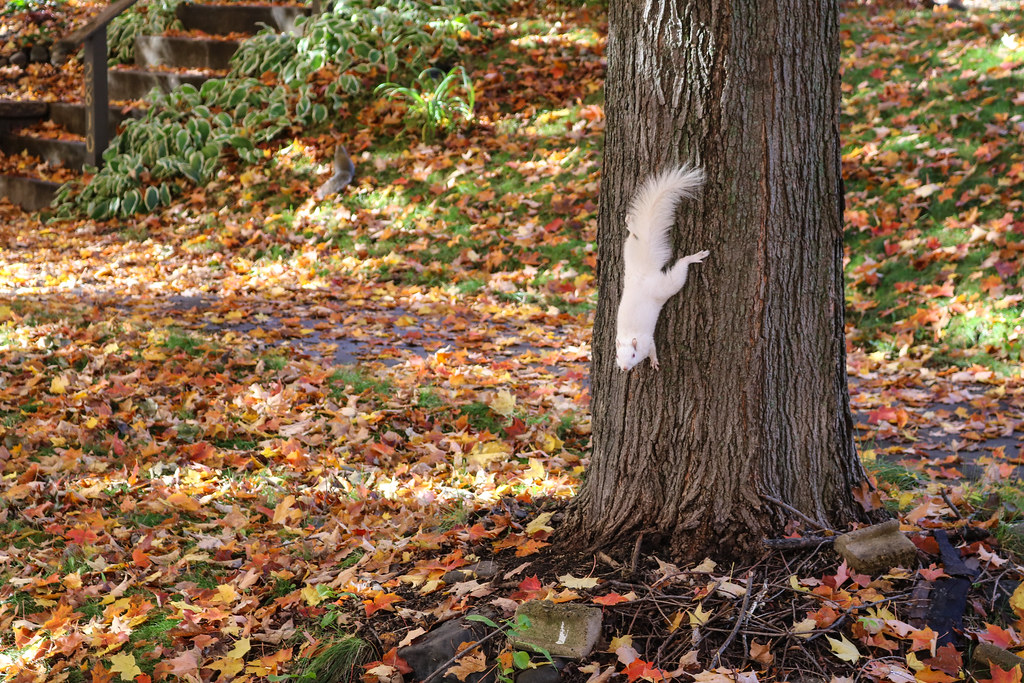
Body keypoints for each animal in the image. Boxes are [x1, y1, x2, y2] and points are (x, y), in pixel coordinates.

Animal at [615, 164, 709, 372]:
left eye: (633, 355)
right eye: (617, 356)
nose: (624, 368)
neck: (628, 335)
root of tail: (642, 274)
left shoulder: (646, 341)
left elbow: (652, 349)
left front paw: (654, 361)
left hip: (665, 286)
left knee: (679, 271)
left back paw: (693, 258)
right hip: (629, 250)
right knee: (632, 236)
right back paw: (629, 222)